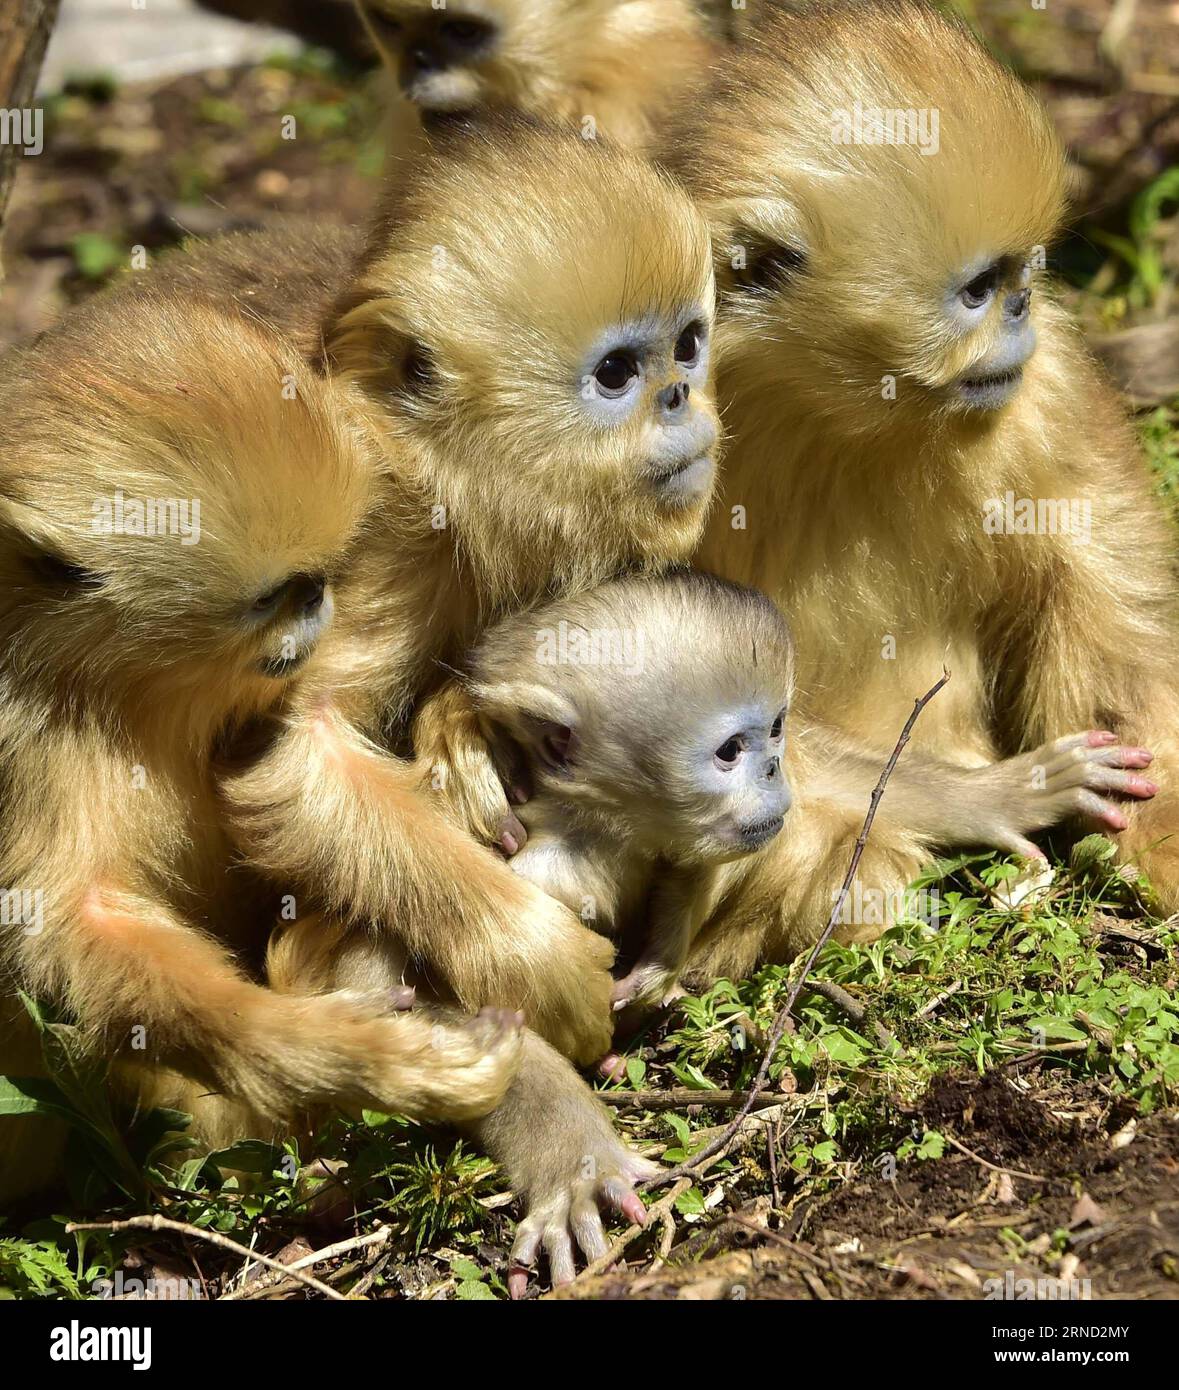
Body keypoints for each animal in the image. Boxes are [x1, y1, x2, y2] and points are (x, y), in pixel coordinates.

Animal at [0, 288, 526, 1204]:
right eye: (275, 597)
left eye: (321, 578)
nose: (320, 607)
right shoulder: (27, 733)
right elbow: (73, 923)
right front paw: (357, 1059)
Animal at [466, 570, 1158, 1008]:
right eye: (730, 751)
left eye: (775, 728)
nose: (774, 771)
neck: (606, 825)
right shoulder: (542, 867)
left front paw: (1016, 792)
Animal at [658, 0, 1179, 971]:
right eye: (978, 290)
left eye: (1023, 276)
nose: (1020, 311)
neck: (842, 412)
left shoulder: (1044, 384)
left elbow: (1101, 591)